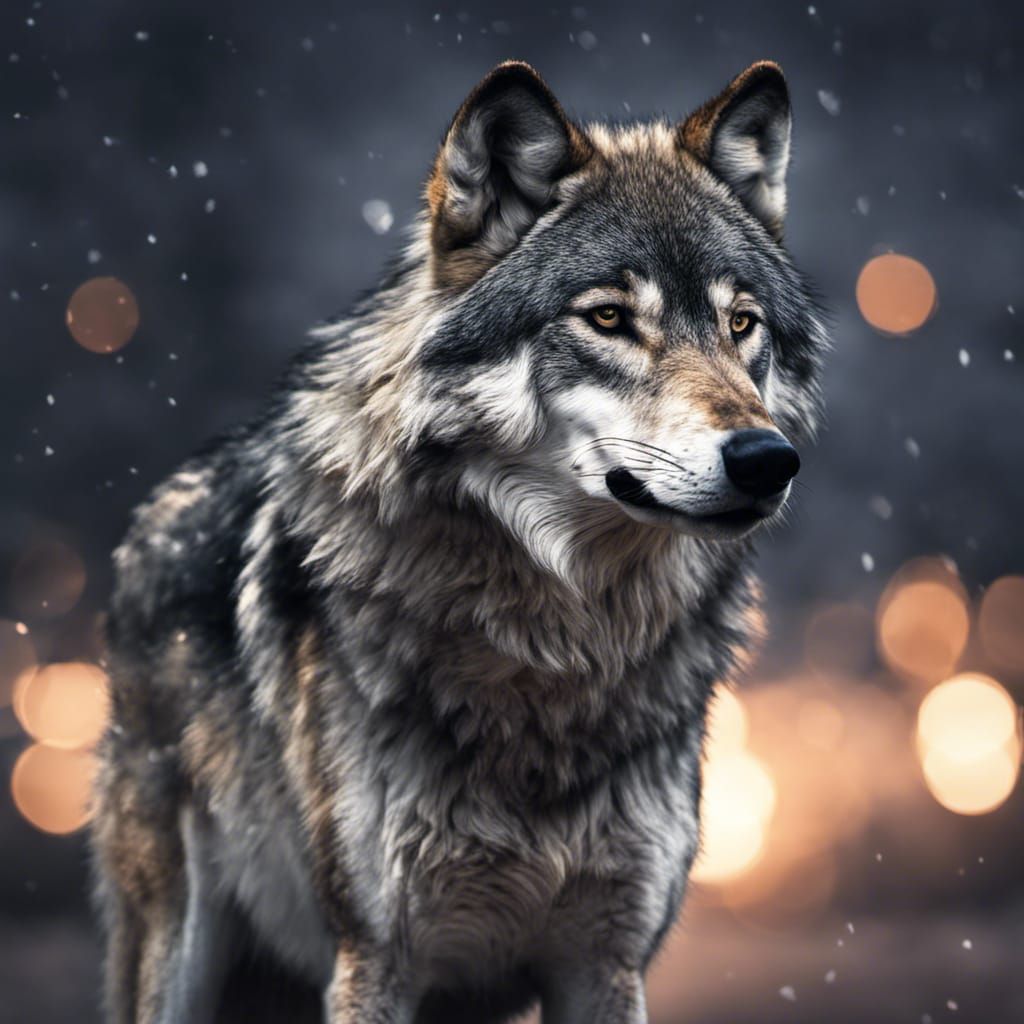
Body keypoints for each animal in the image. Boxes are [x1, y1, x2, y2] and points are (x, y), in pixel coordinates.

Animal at [91, 60, 826, 1023]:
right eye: (608, 319)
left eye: (742, 324)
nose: (766, 460)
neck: (559, 648)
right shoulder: (377, 956)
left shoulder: (604, 961)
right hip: (179, 950)